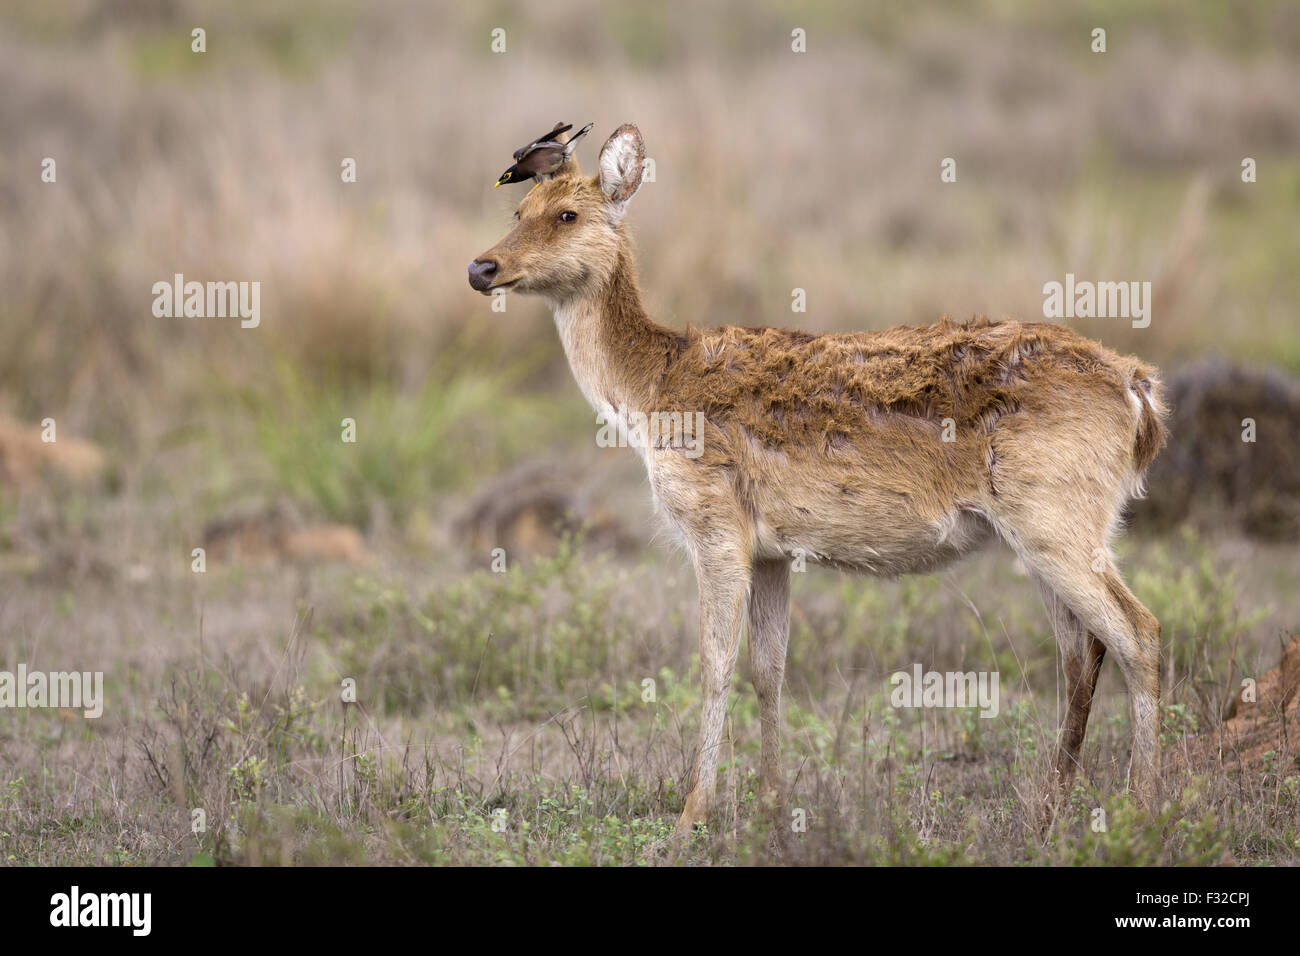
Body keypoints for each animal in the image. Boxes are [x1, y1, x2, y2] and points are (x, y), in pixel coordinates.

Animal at [468, 123, 1167, 834]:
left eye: (567, 214)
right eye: (517, 211)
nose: (482, 267)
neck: (649, 395)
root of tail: (1140, 394)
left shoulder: (715, 522)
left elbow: (713, 667)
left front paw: (691, 817)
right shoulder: (772, 550)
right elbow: (768, 670)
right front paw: (775, 805)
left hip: (1056, 516)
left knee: (1138, 632)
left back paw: (1141, 805)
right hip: (1044, 528)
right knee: (1081, 652)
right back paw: (1051, 809)